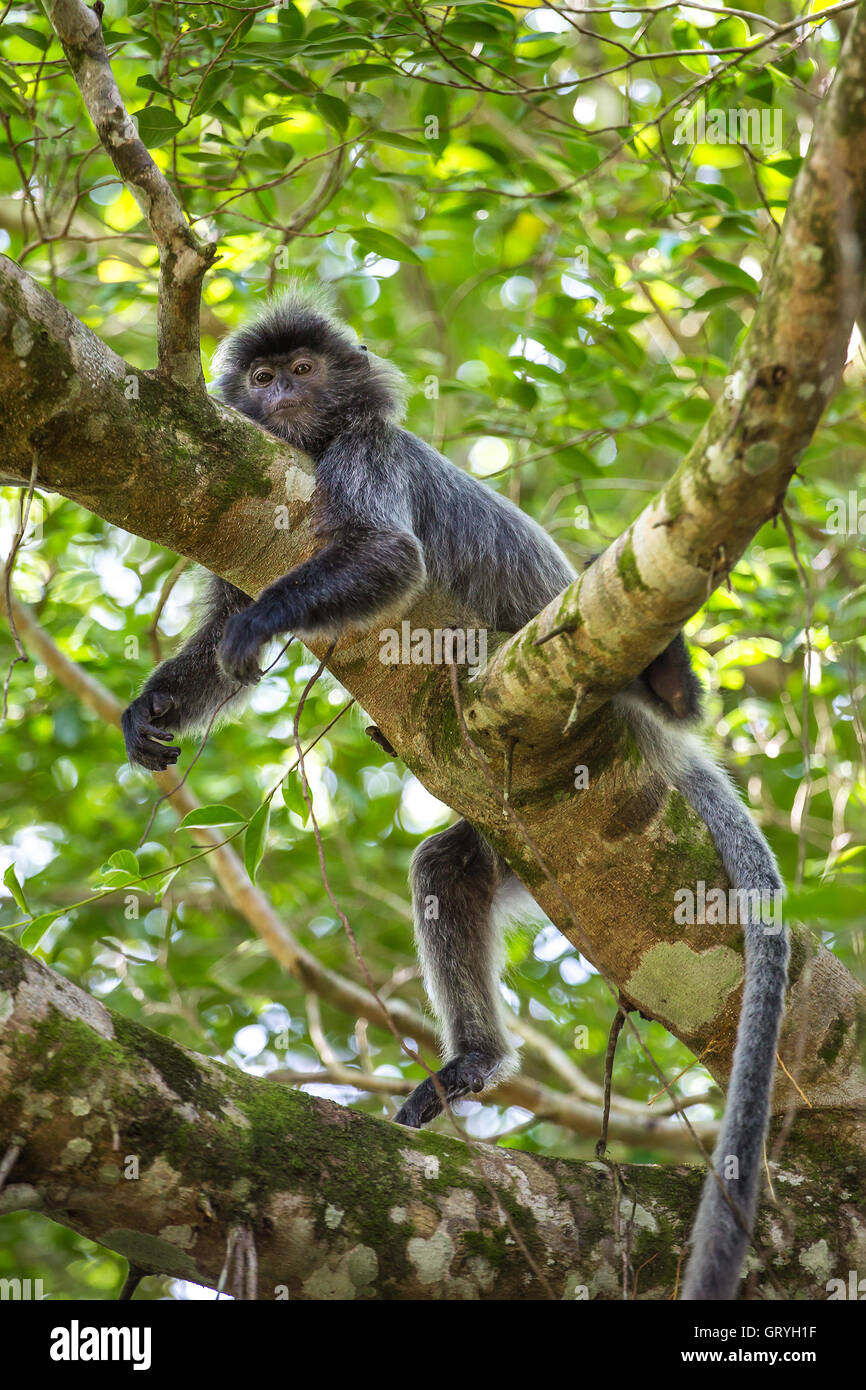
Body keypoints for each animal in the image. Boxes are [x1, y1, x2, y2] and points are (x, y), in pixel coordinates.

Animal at [121, 288, 788, 1301]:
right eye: (264, 377)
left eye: (304, 371)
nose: (280, 397)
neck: (315, 444)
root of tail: (658, 739)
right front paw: (151, 706)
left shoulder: (367, 452)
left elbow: (388, 556)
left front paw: (258, 622)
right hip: (525, 843)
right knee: (447, 867)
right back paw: (474, 1061)